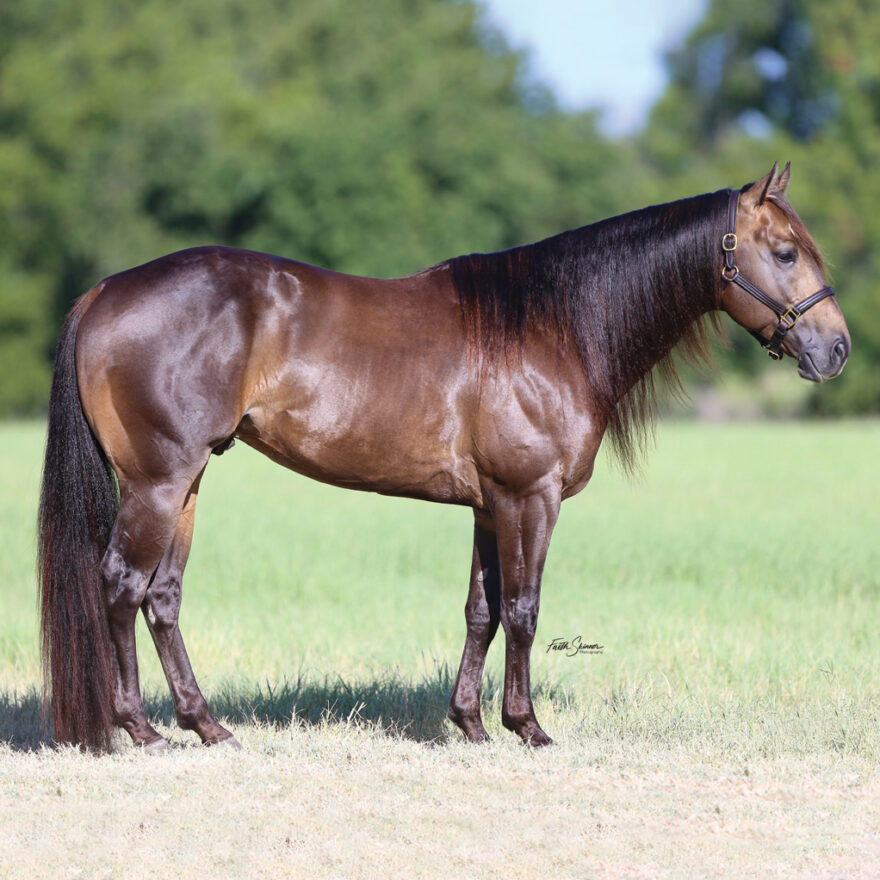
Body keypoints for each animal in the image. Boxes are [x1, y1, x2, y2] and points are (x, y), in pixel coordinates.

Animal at [37, 163, 850, 752]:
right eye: (784, 252)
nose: (836, 349)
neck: (553, 327)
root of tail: (106, 290)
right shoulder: (530, 497)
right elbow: (523, 609)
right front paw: (528, 726)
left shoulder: (491, 505)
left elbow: (481, 611)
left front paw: (470, 722)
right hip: (157, 481)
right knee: (120, 587)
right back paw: (140, 729)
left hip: (188, 483)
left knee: (163, 597)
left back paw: (207, 726)